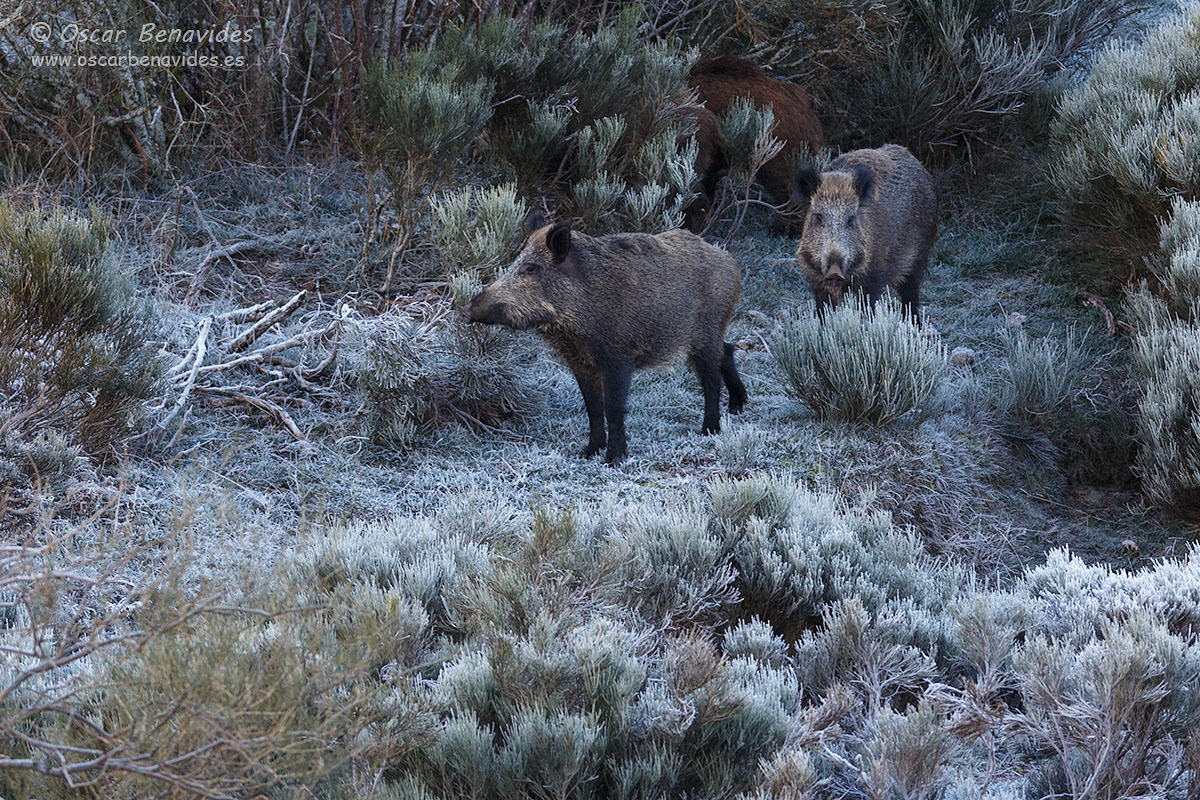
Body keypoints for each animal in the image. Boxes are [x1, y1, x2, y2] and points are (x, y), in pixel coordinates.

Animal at [466, 213, 746, 463]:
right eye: (516, 262)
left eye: (530, 268)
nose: (468, 308)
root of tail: (729, 261)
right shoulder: (580, 363)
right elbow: (592, 407)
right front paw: (588, 453)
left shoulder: (618, 358)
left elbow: (612, 407)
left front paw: (613, 459)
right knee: (727, 350)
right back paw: (737, 406)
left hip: (706, 332)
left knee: (711, 378)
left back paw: (709, 429)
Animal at [793, 144, 937, 321]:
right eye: (818, 217)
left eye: (850, 219)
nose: (834, 272)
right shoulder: (817, 280)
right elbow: (823, 311)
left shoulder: (874, 275)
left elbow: (868, 308)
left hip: (920, 254)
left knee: (910, 294)